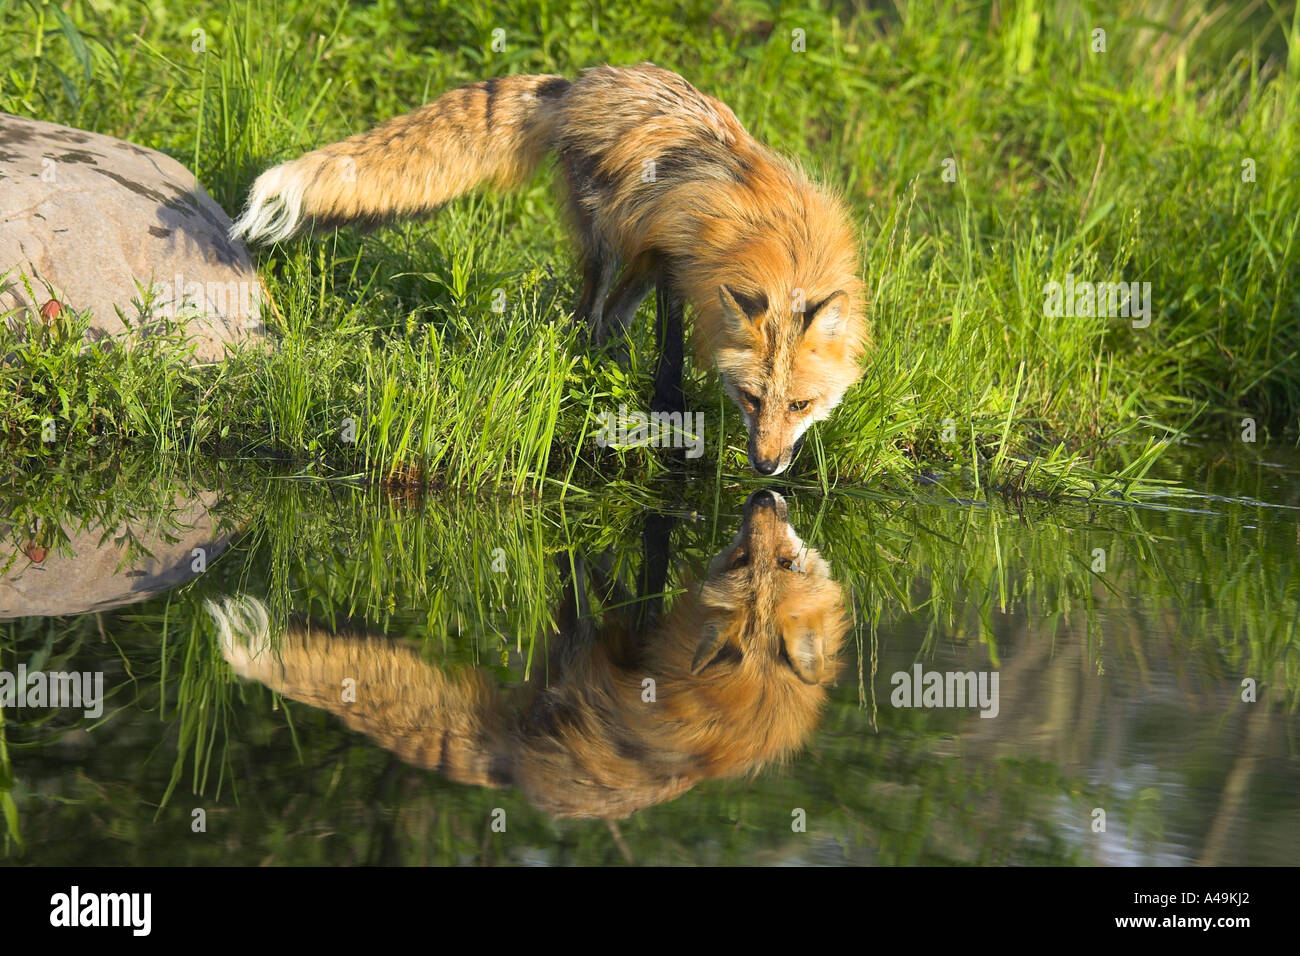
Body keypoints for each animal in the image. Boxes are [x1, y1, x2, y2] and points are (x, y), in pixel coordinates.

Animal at [206, 491, 850, 819]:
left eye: (783, 562)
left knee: (579, 617)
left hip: (574, 672)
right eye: (745, 559)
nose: (765, 494)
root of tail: (513, 772)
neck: (756, 694)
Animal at [231, 63, 868, 476]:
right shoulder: (674, 262)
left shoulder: (669, 264)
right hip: (607, 244)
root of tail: (584, 80)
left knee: (608, 321)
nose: (765, 467)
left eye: (800, 405)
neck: (779, 245)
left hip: (630, 253)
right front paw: (669, 413)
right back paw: (589, 369)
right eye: (751, 398)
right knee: (588, 315)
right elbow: (668, 354)